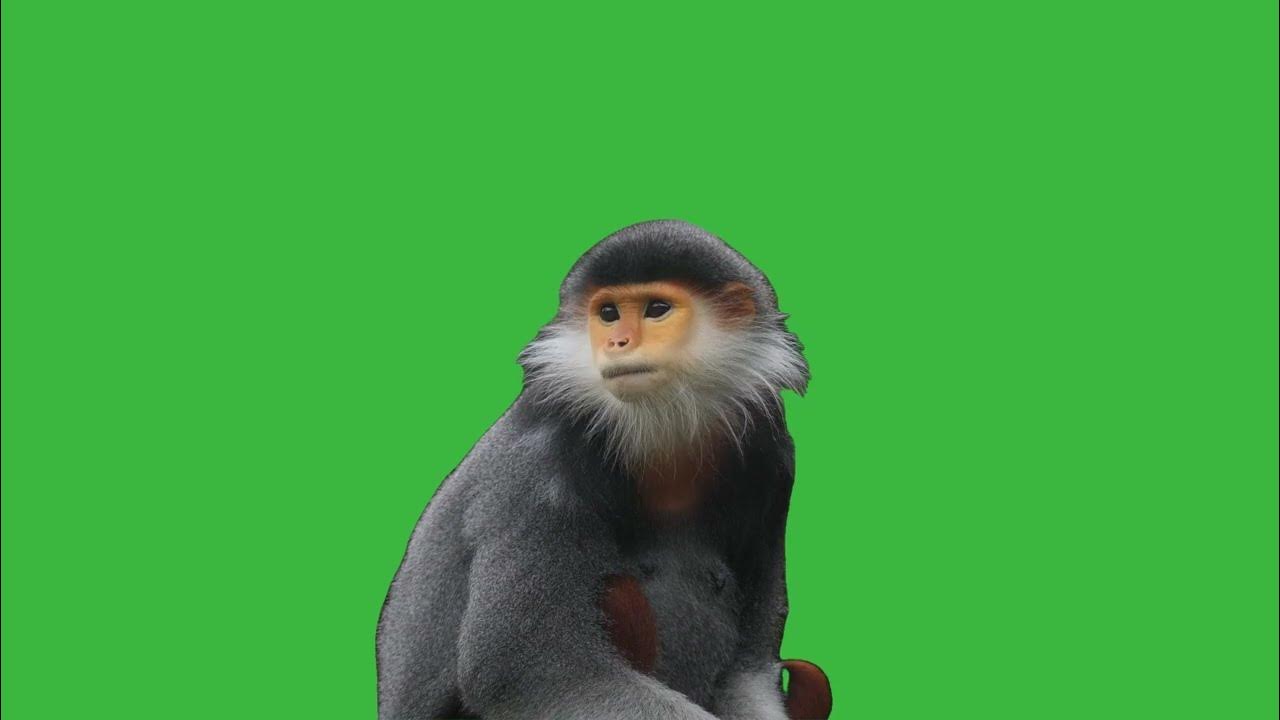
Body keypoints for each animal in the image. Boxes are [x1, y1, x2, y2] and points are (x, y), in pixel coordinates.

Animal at [376, 220, 832, 720]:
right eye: (609, 314)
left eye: (656, 310)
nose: (617, 343)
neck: (661, 425)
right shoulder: (545, 456)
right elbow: (527, 669)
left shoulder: (771, 454)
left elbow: (747, 669)